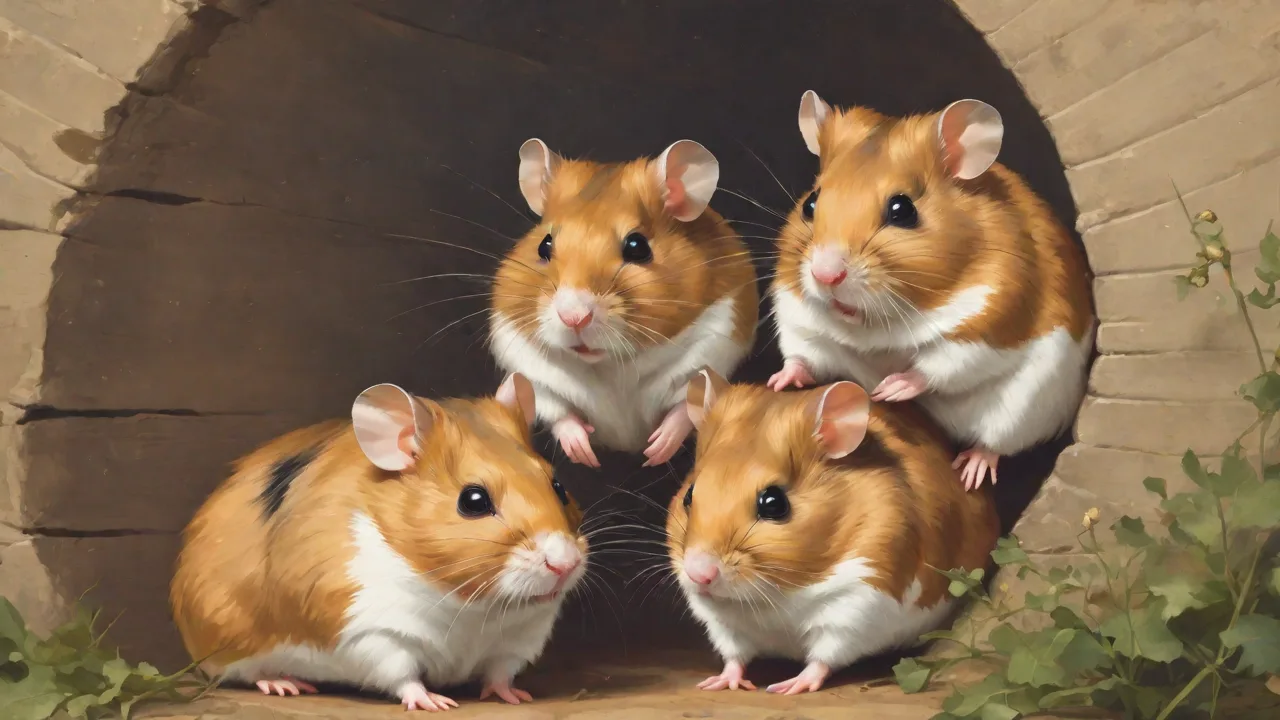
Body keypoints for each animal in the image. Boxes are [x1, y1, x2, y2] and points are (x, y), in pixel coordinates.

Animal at [170, 373, 587, 712]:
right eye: (473, 501)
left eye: (558, 485)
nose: (564, 564)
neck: (471, 606)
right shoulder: (372, 632)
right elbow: (404, 676)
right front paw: (436, 702)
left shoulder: (519, 641)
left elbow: (500, 675)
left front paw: (517, 697)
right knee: (246, 672)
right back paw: (285, 684)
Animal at [488, 138, 759, 468]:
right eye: (544, 245)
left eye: (637, 247)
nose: (573, 318)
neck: (609, 366)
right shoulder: (529, 367)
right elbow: (557, 411)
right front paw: (586, 456)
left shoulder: (714, 345)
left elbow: (684, 407)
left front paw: (655, 452)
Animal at [668, 368, 999, 694]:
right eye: (689, 495)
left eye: (774, 503)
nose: (699, 575)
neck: (776, 594)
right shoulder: (722, 625)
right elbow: (734, 657)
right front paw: (718, 683)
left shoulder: (858, 605)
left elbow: (823, 659)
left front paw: (788, 686)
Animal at [766, 90, 1094, 491]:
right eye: (810, 203)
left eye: (902, 210)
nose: (825, 276)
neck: (874, 323)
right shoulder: (796, 315)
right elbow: (801, 354)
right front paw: (778, 381)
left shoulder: (988, 322)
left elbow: (937, 364)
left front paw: (889, 388)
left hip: (1024, 408)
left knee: (995, 443)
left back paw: (971, 471)